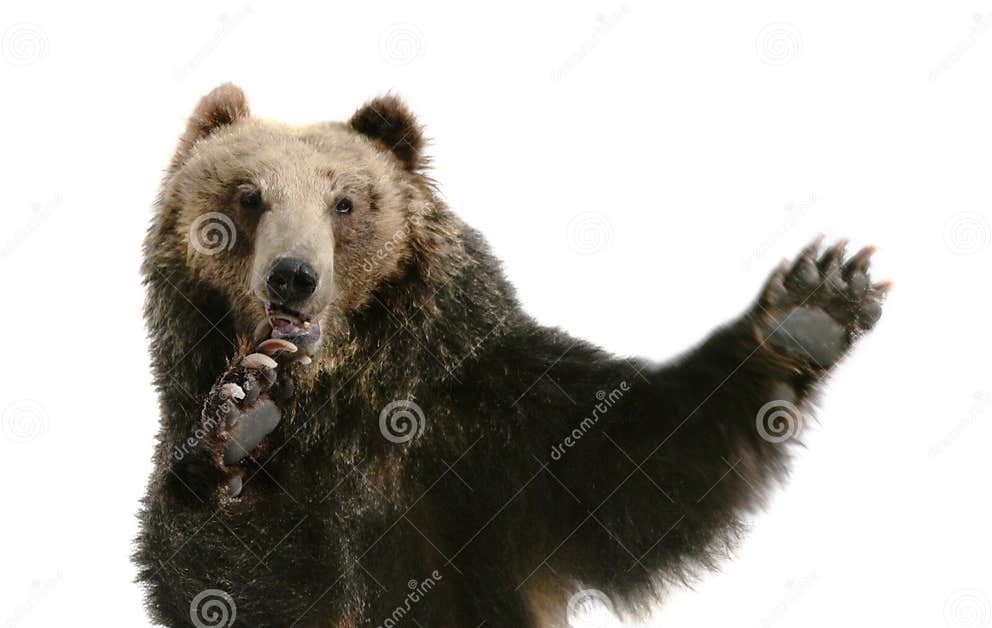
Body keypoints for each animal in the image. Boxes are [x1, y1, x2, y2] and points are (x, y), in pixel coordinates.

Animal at [134, 83, 887, 627]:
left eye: (345, 202)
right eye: (249, 195)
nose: (293, 276)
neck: (340, 393)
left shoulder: (490, 432)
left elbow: (641, 464)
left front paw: (813, 304)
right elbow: (229, 582)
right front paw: (240, 419)